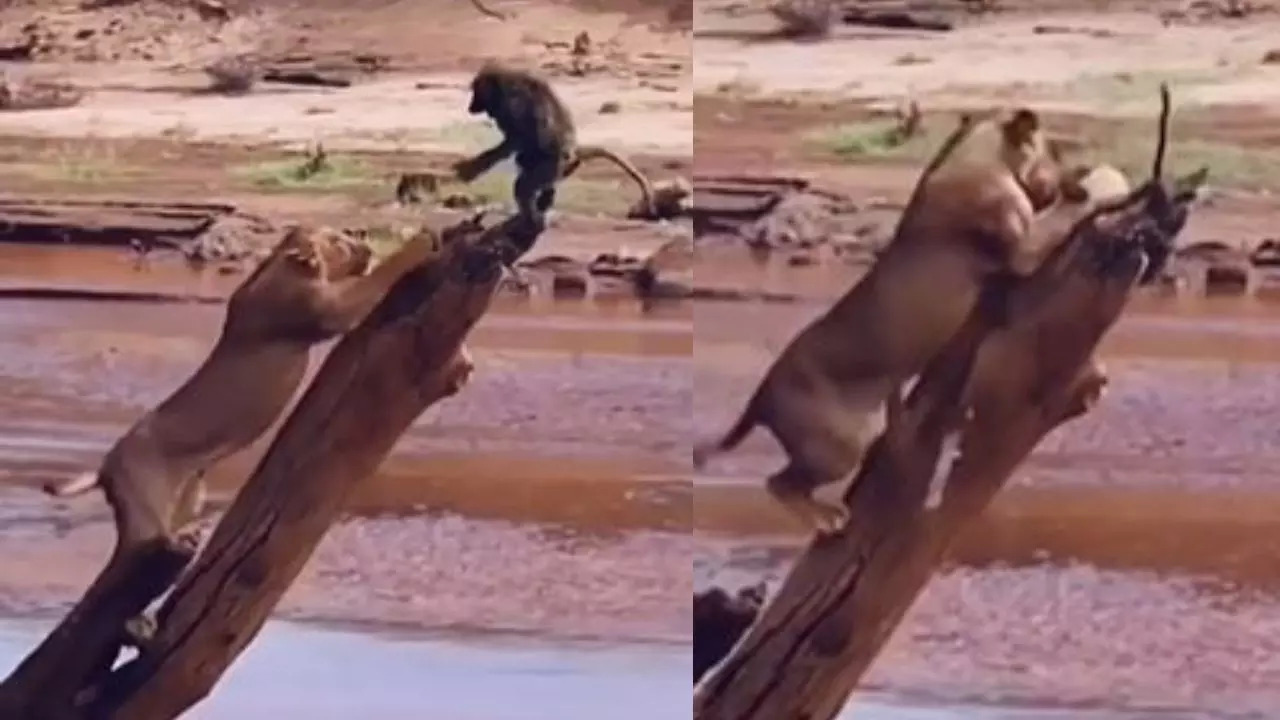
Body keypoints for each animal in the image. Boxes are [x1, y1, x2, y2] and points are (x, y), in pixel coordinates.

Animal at [452, 62, 656, 255]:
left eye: (476, 92)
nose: (470, 107)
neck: (504, 85)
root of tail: (573, 153)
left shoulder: (513, 104)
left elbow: (518, 137)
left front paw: (473, 168)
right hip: (558, 169)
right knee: (536, 179)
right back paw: (540, 207)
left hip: (551, 165)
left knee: (523, 184)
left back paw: (532, 219)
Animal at [691, 107, 1085, 535]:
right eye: (1056, 152)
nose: (1079, 171)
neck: (981, 157)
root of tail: (760, 396)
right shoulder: (1020, 250)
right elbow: (1057, 225)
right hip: (839, 444)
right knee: (780, 484)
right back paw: (827, 520)